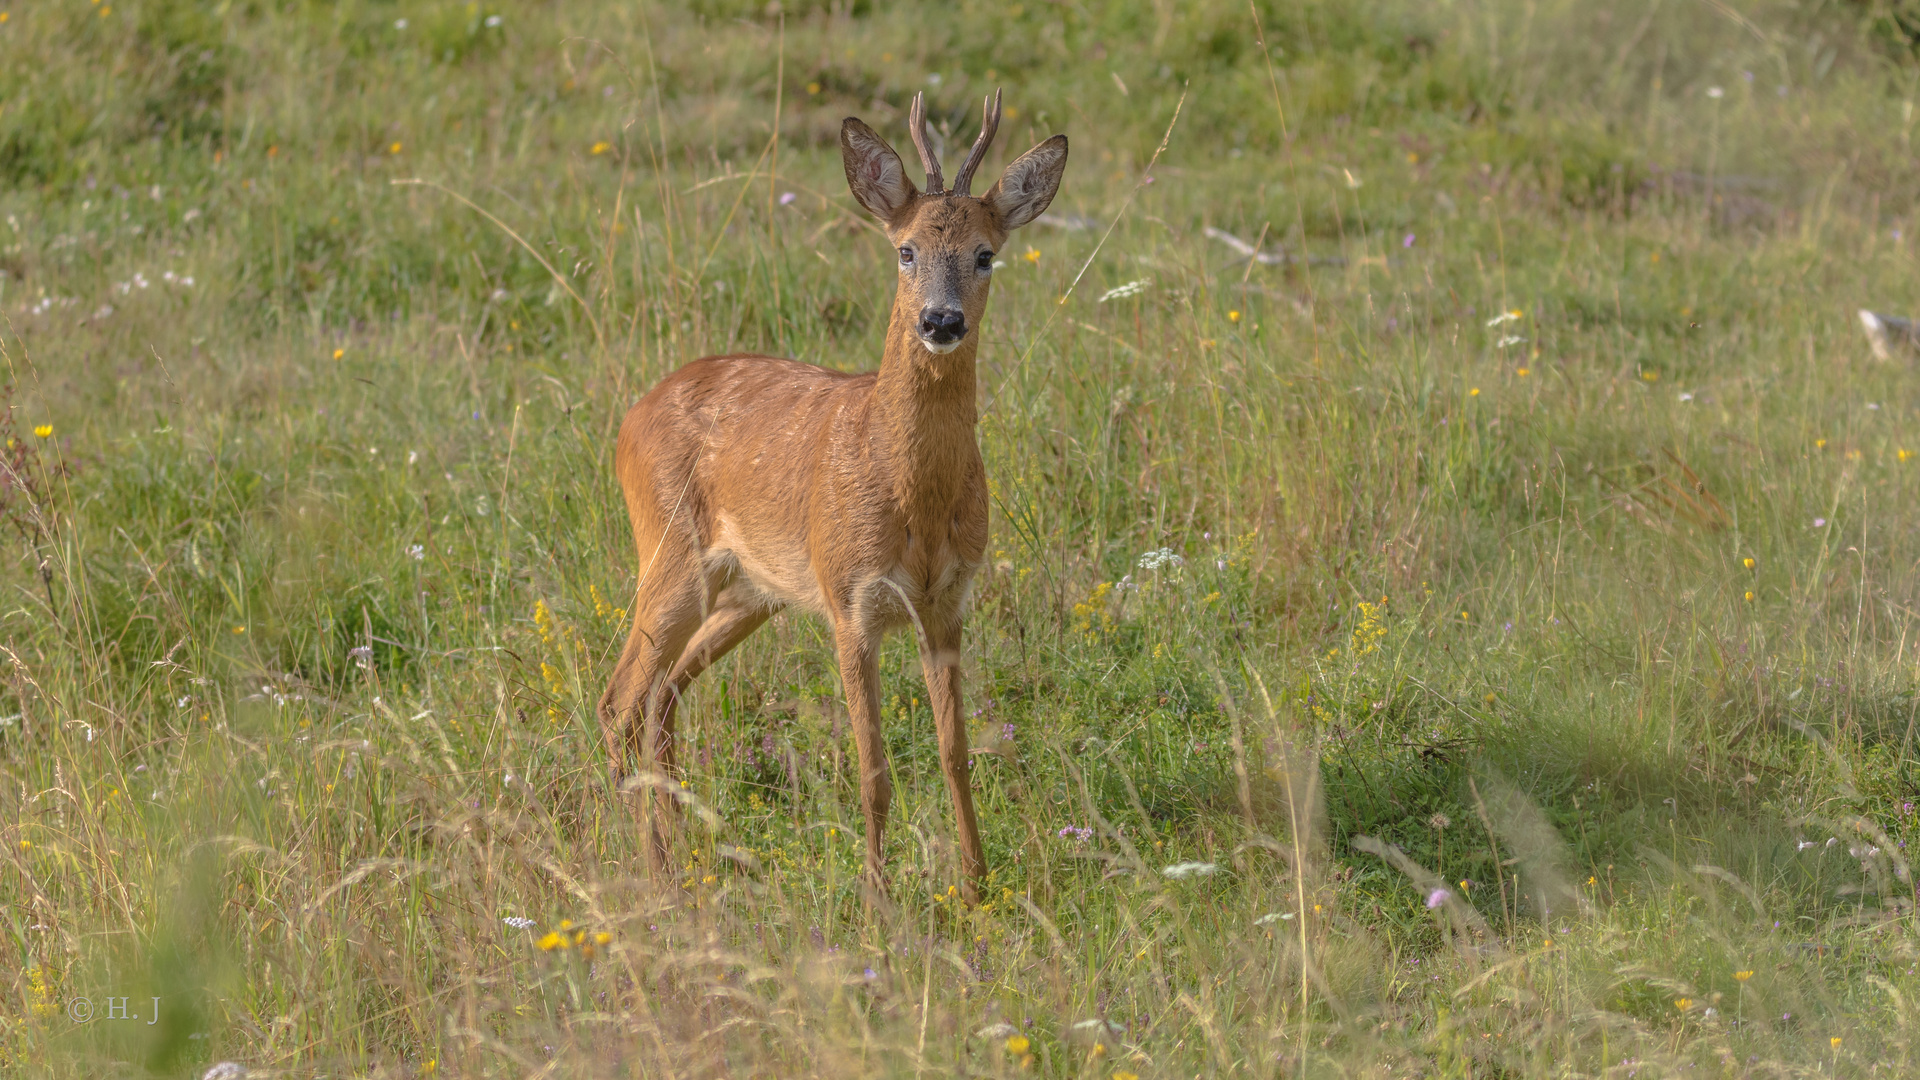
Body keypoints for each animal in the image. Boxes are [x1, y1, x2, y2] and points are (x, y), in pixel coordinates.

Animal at [602, 94, 1067, 899]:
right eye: (905, 250)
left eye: (985, 253)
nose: (941, 321)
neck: (913, 498)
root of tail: (634, 414)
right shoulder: (852, 602)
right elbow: (872, 765)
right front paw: (878, 895)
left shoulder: (947, 604)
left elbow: (955, 752)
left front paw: (979, 885)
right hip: (669, 557)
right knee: (621, 699)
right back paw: (650, 870)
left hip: (749, 593)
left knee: (662, 697)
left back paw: (683, 858)